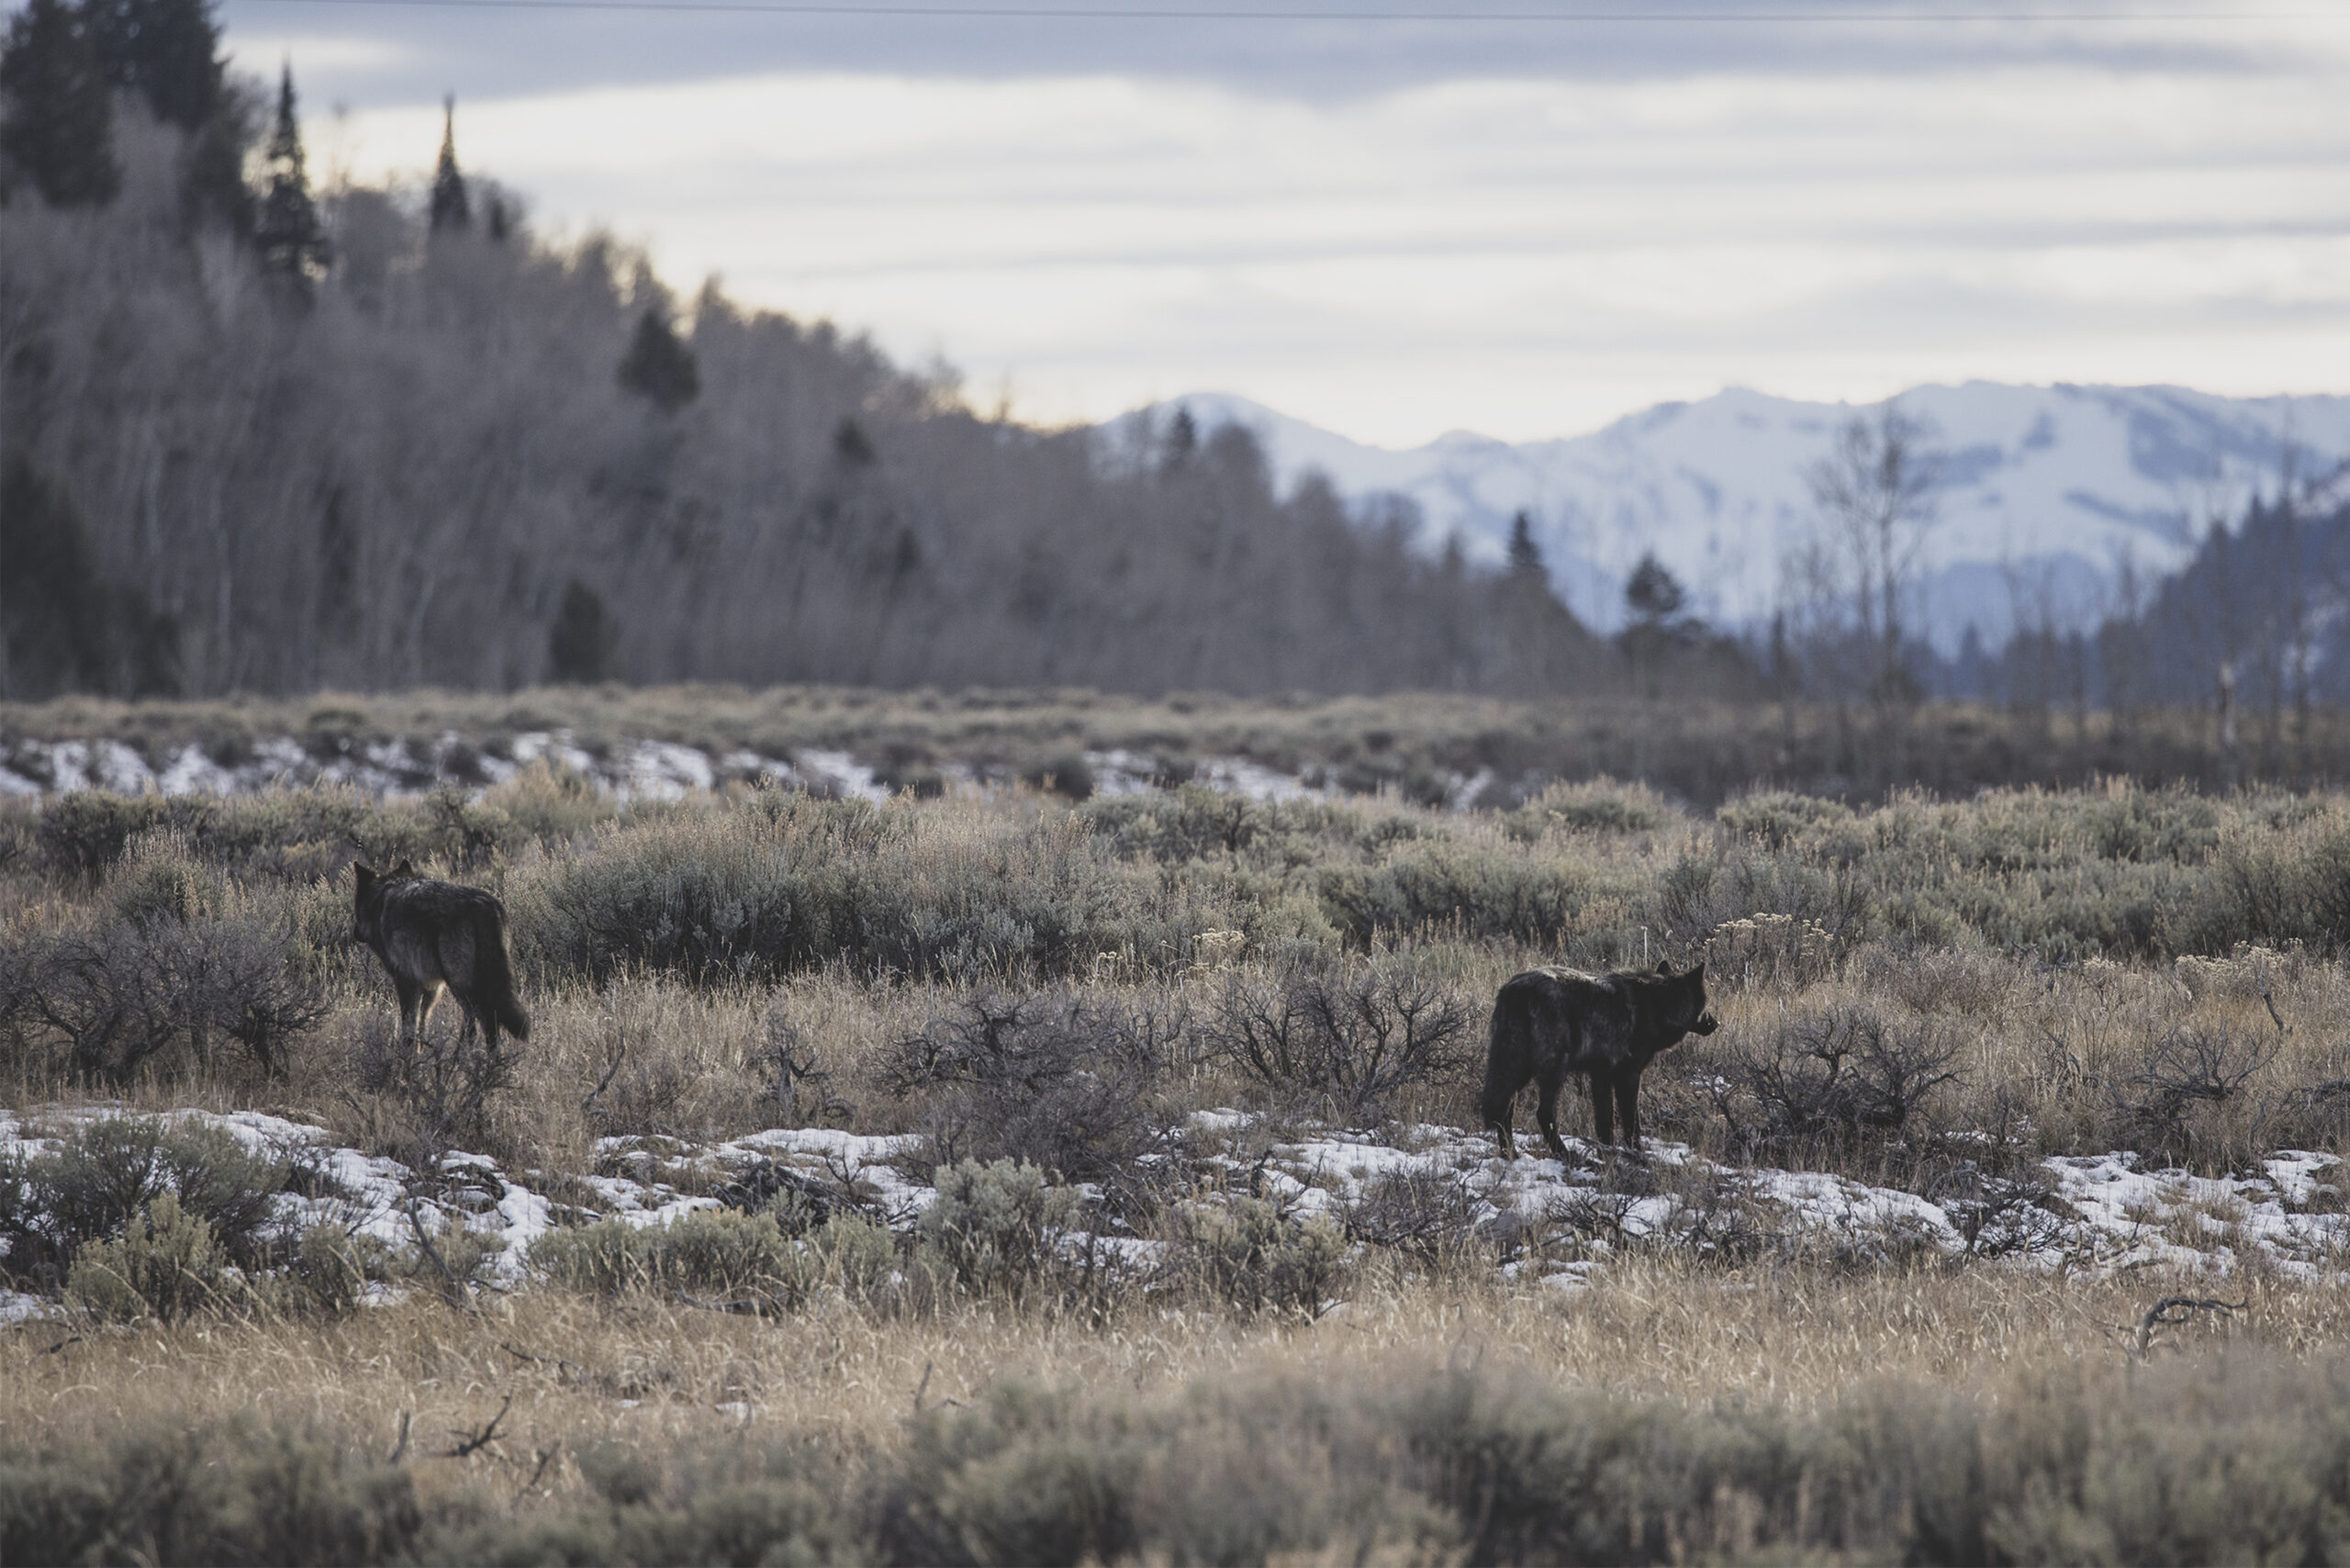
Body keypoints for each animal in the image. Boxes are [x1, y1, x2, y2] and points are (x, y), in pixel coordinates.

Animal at [351, 859, 530, 1049]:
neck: (379, 902)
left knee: (481, 1024)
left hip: (461, 987)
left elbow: (409, 1028)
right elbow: (422, 1025)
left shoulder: (406, 982)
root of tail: (483, 904)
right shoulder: (432, 988)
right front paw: (421, 1051)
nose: (355, 932)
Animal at [1480, 960, 1716, 1161]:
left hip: (1518, 1071)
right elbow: (1632, 1122)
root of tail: (1516, 990)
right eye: (1705, 1002)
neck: (1657, 1005)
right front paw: (1637, 1154)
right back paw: (1564, 1154)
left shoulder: (1601, 1075)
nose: (1715, 1022)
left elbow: (1605, 1121)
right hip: (1554, 1073)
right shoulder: (1629, 1076)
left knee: (1505, 1110)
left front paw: (1607, 1153)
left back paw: (1510, 1155)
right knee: (1543, 1113)